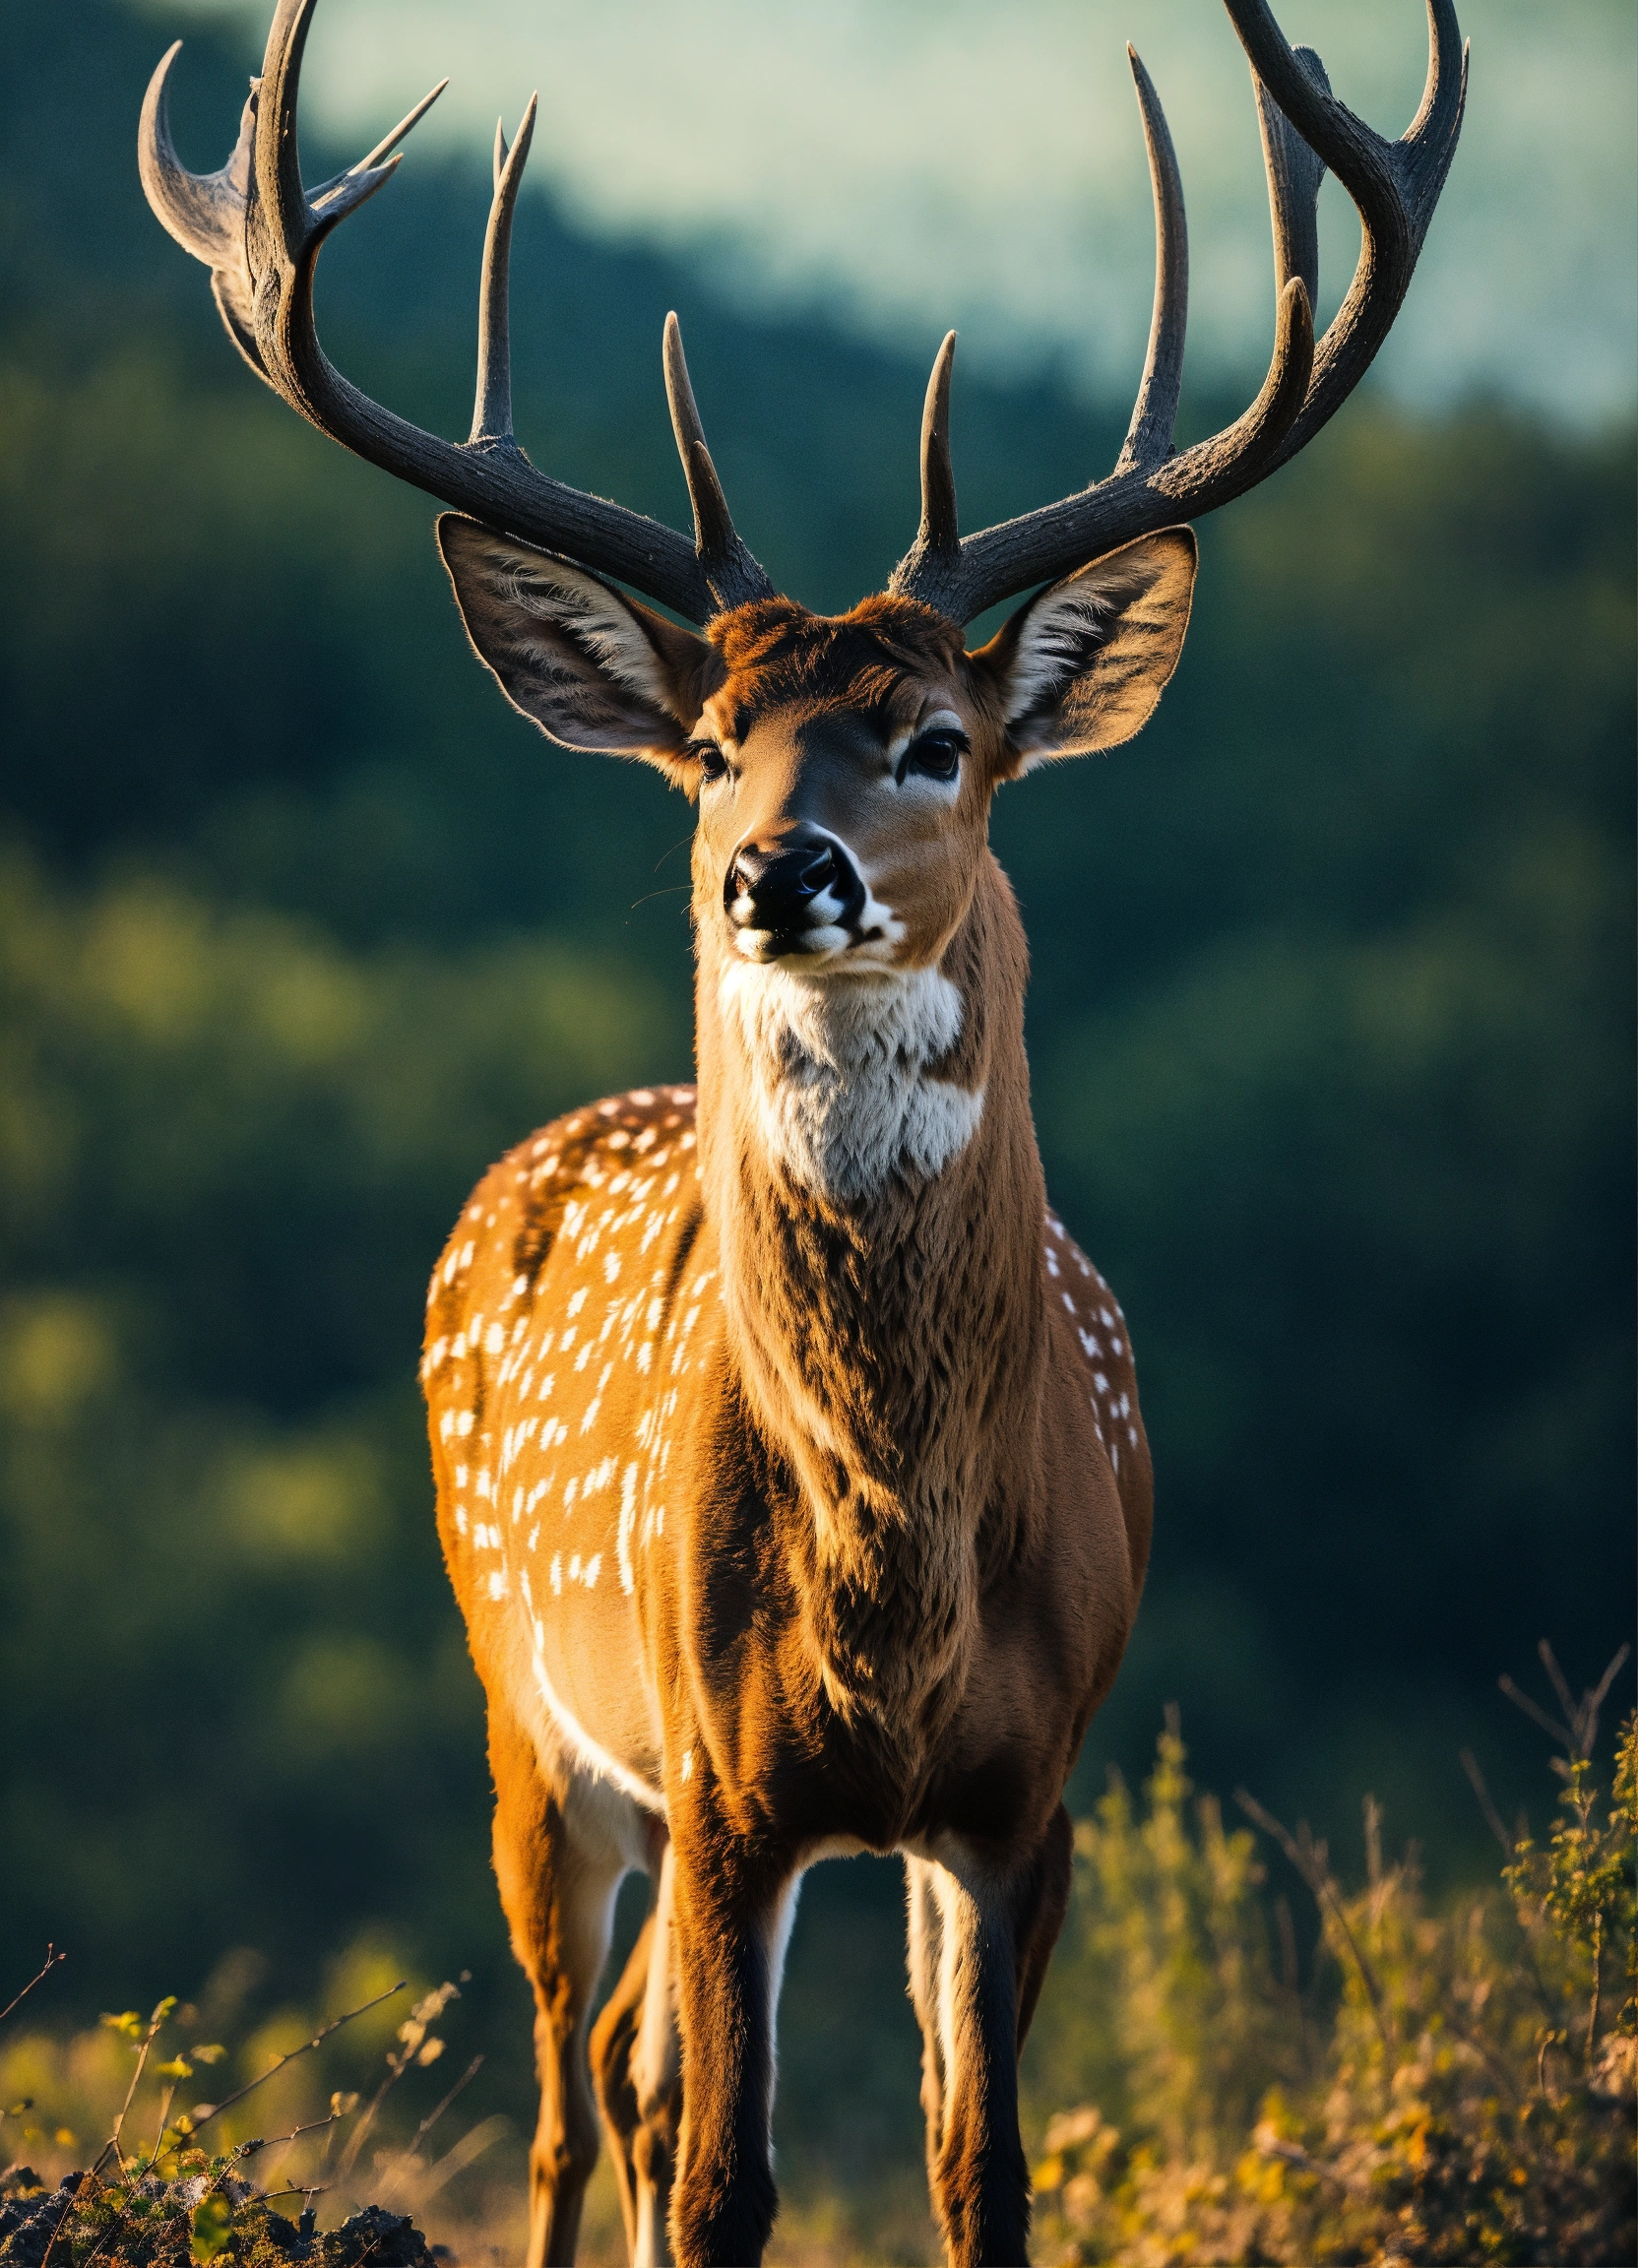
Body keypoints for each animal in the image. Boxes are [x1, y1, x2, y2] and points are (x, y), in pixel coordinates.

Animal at [139, 2, 1464, 2260]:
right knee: (581, 2095)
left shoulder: (1026, 1796)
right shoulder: (727, 1778)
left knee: (631, 2076)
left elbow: (975, 2167)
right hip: (533, 1713)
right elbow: (728, 2177)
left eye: (936, 737)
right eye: (707, 742)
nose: (778, 868)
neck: (894, 1583)